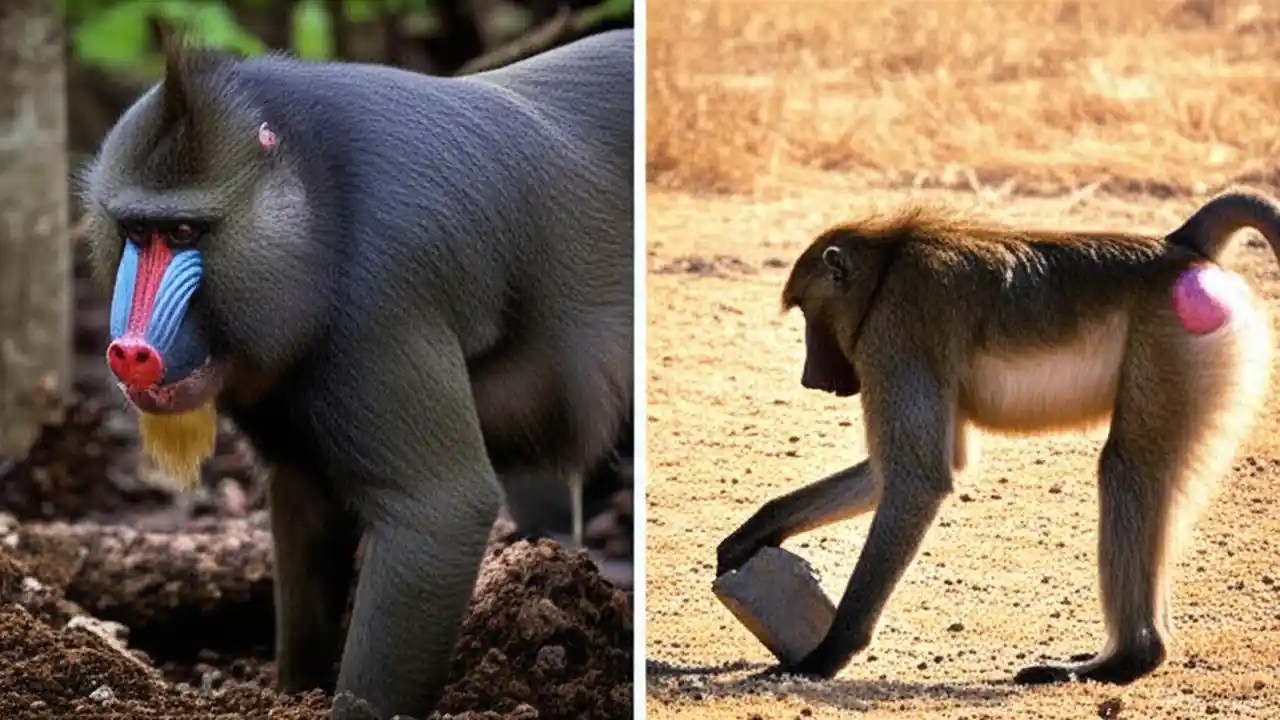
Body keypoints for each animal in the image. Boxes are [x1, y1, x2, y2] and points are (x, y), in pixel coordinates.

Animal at [81, 30, 633, 719]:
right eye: (136, 230)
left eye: (183, 232)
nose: (131, 351)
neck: (320, 212)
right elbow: (307, 511)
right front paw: (294, 691)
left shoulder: (380, 303)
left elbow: (440, 509)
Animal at [717, 189, 1280, 686]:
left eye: (808, 313)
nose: (809, 377)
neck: (886, 269)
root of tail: (1180, 250)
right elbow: (904, 473)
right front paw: (750, 538)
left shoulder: (896, 331)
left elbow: (918, 479)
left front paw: (826, 655)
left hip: (1172, 343)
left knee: (1127, 466)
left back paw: (1120, 662)